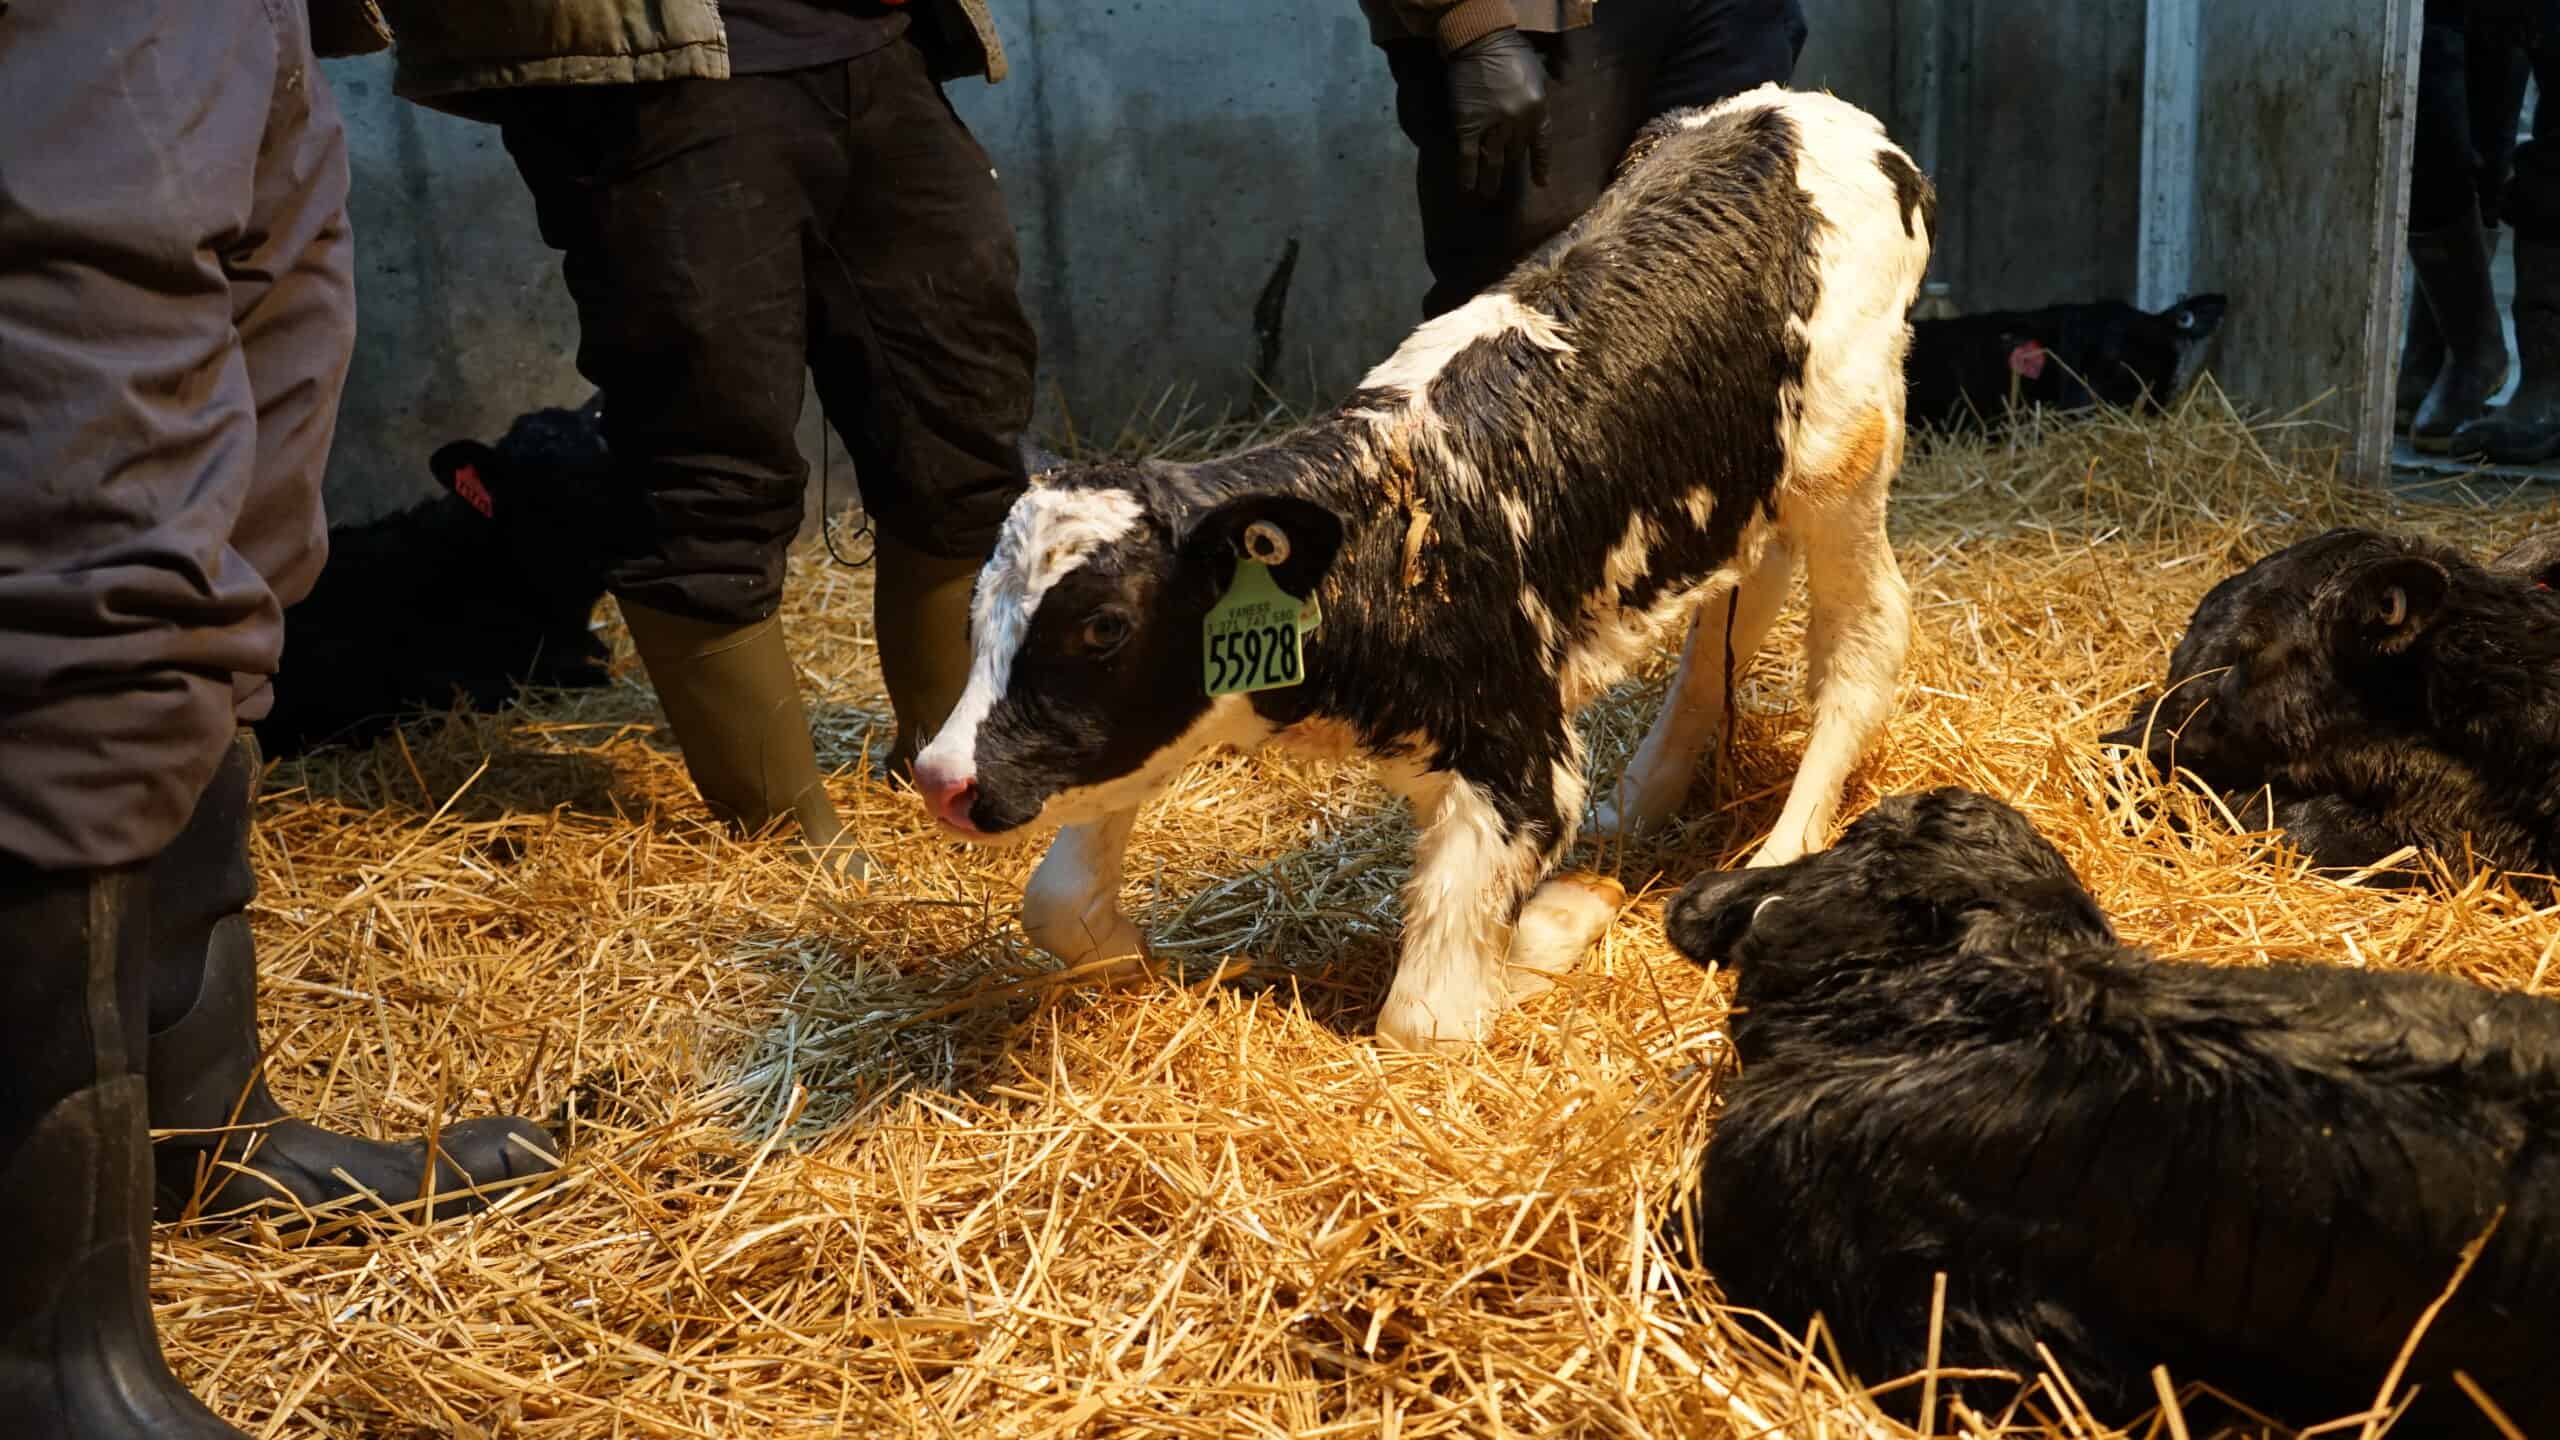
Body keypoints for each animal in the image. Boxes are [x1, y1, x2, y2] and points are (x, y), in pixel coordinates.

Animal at [908, 86, 1934, 1050]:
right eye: (977, 615)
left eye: (1104, 626)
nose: (940, 780)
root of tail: (1799, 109)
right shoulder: (1149, 723)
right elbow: (1056, 903)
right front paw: (1138, 966)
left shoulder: (1518, 761)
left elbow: (1425, 1022)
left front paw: (1559, 921)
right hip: (1750, 491)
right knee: (1735, 606)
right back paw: (1640, 804)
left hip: (1846, 464)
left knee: (1865, 639)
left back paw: (1776, 856)